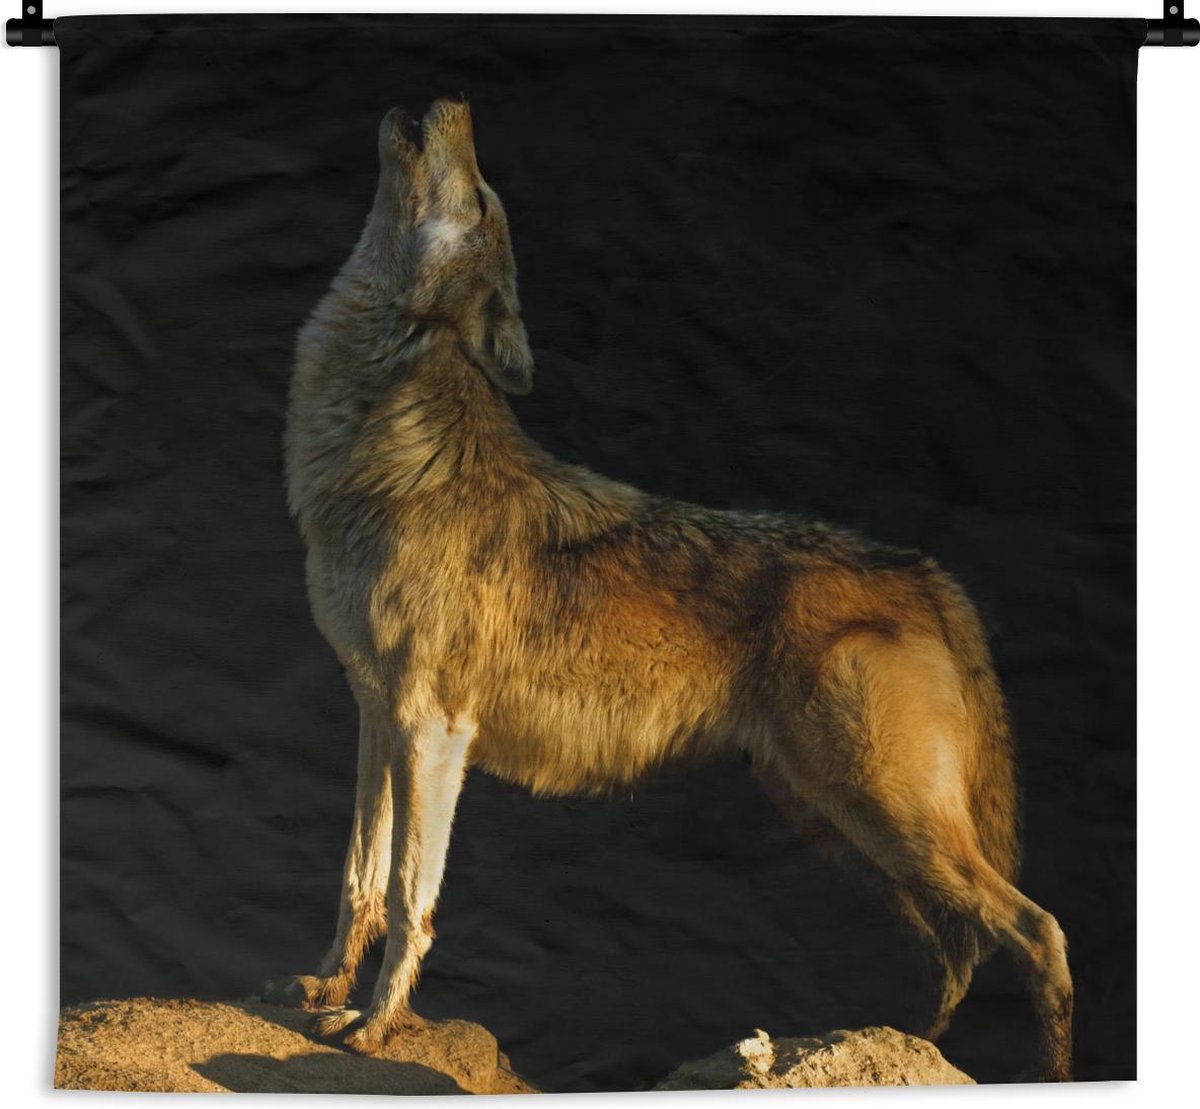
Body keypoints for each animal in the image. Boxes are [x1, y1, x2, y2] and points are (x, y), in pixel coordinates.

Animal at [269, 98, 1073, 1082]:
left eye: (484, 197)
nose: (453, 105)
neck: (379, 440)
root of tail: (928, 573)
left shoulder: (432, 727)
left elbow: (409, 893)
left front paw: (378, 1024)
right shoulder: (376, 713)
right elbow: (358, 876)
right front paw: (324, 989)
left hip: (880, 816)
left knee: (1035, 929)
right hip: (838, 822)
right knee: (955, 944)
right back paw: (902, 1047)